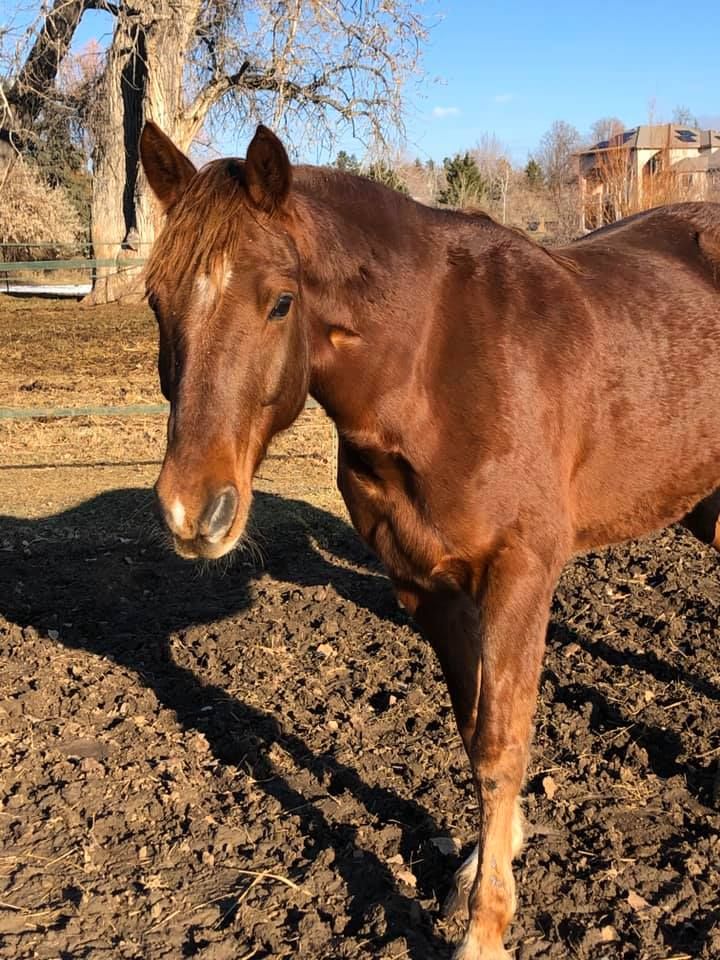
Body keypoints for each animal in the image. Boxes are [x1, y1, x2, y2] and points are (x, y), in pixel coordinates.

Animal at [139, 120, 720, 959]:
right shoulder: (428, 586)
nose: (192, 511)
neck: (435, 366)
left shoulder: (520, 575)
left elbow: (502, 744)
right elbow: (474, 730)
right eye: (156, 300)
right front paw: (484, 860)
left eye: (280, 301)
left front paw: (486, 927)